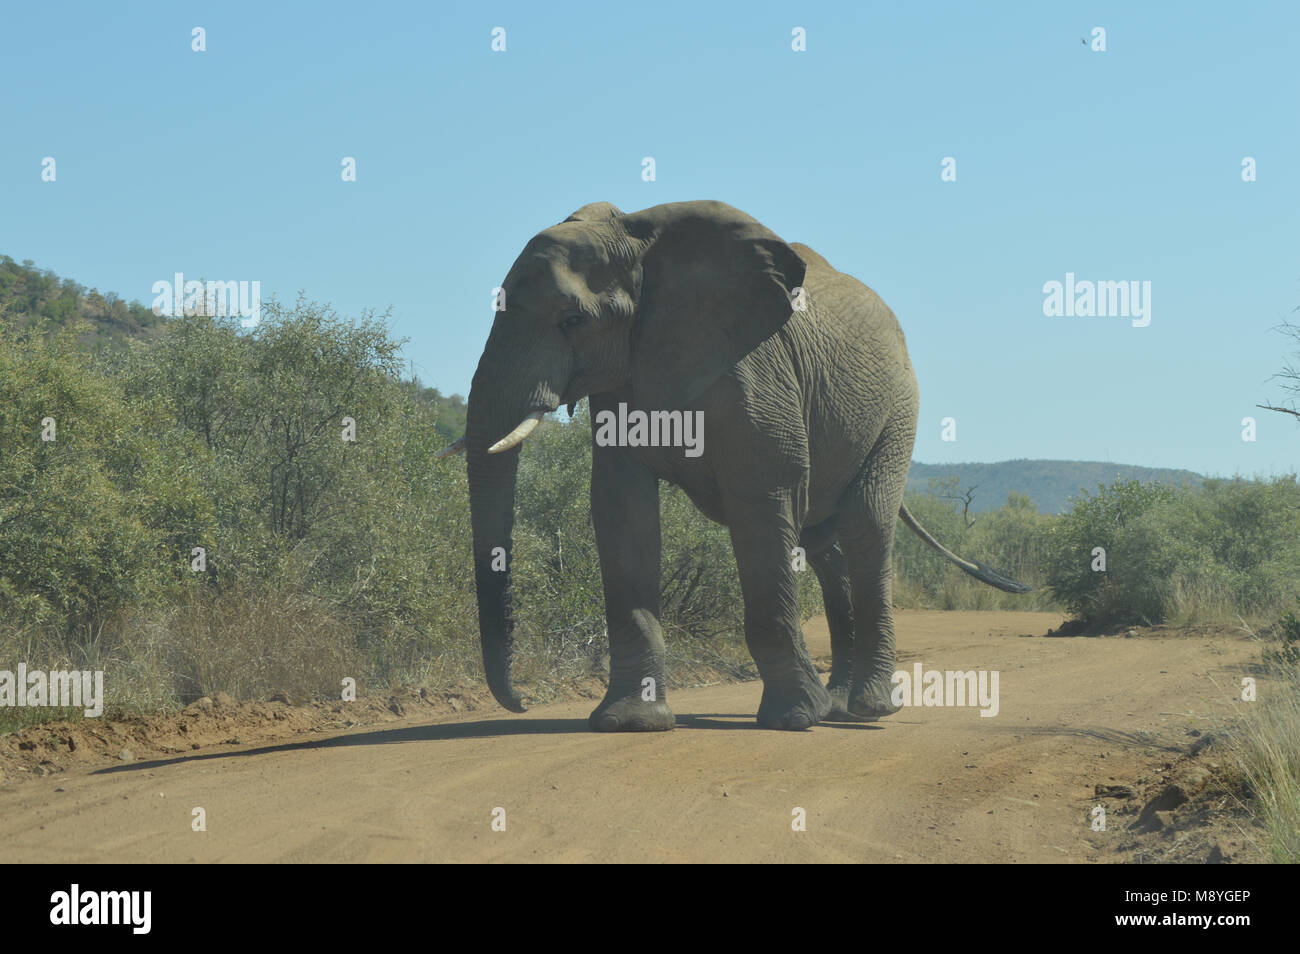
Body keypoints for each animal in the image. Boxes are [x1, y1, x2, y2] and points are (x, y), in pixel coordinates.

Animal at [453, 199, 1029, 732]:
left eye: (572, 321)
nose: (521, 702)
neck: (639, 241)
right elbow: (622, 508)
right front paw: (631, 723)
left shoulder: (754, 372)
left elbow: (762, 496)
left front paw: (793, 719)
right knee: (824, 546)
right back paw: (838, 706)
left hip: (898, 408)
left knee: (865, 524)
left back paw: (868, 709)